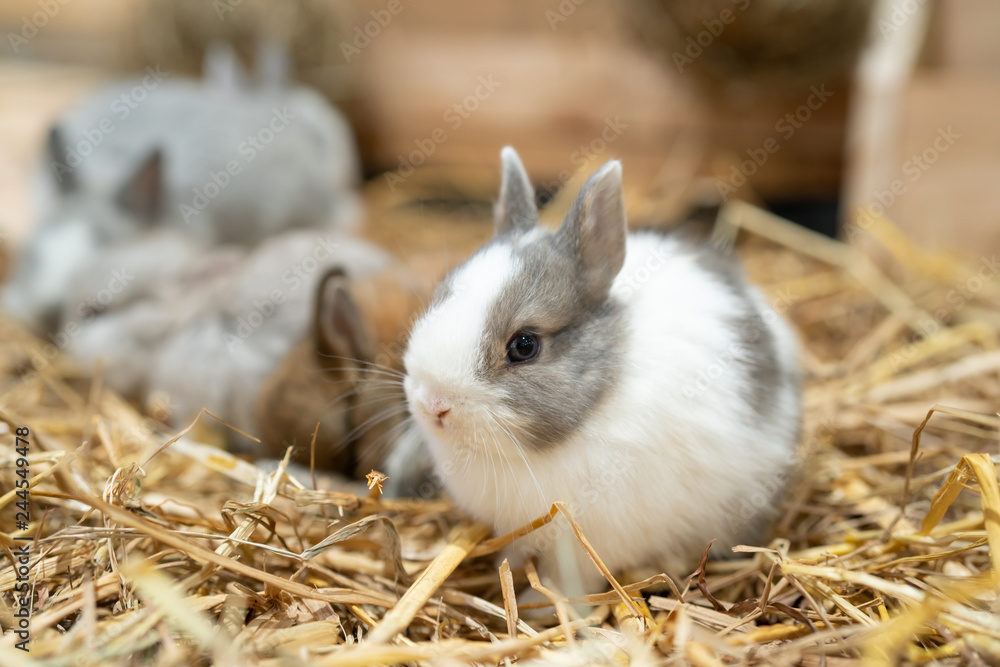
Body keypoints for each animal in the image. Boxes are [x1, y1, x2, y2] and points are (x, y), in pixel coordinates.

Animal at [397, 147, 802, 596]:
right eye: (440, 296)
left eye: (525, 345)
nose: (433, 404)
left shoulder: (587, 543)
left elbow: (567, 582)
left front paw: (545, 603)